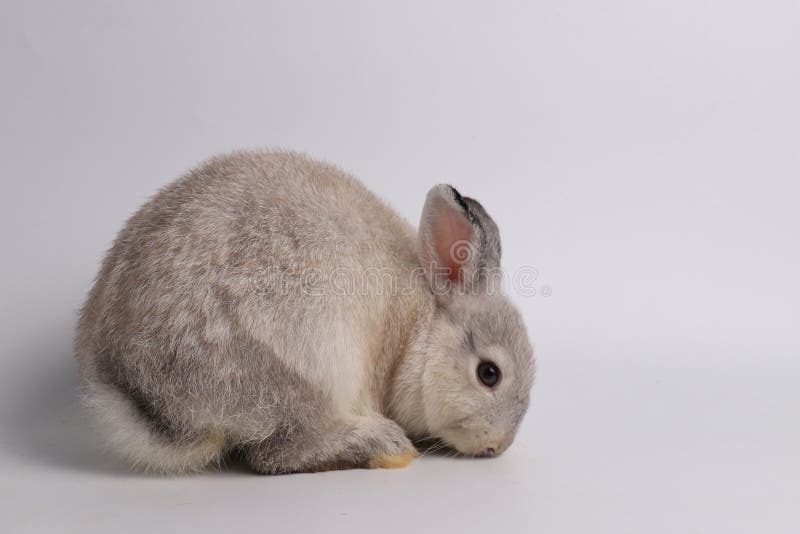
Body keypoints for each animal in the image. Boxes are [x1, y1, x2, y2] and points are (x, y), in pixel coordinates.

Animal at [74, 150, 535, 474]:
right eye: (489, 374)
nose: (498, 447)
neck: (415, 330)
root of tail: (144, 393)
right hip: (305, 371)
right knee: (278, 452)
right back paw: (384, 446)